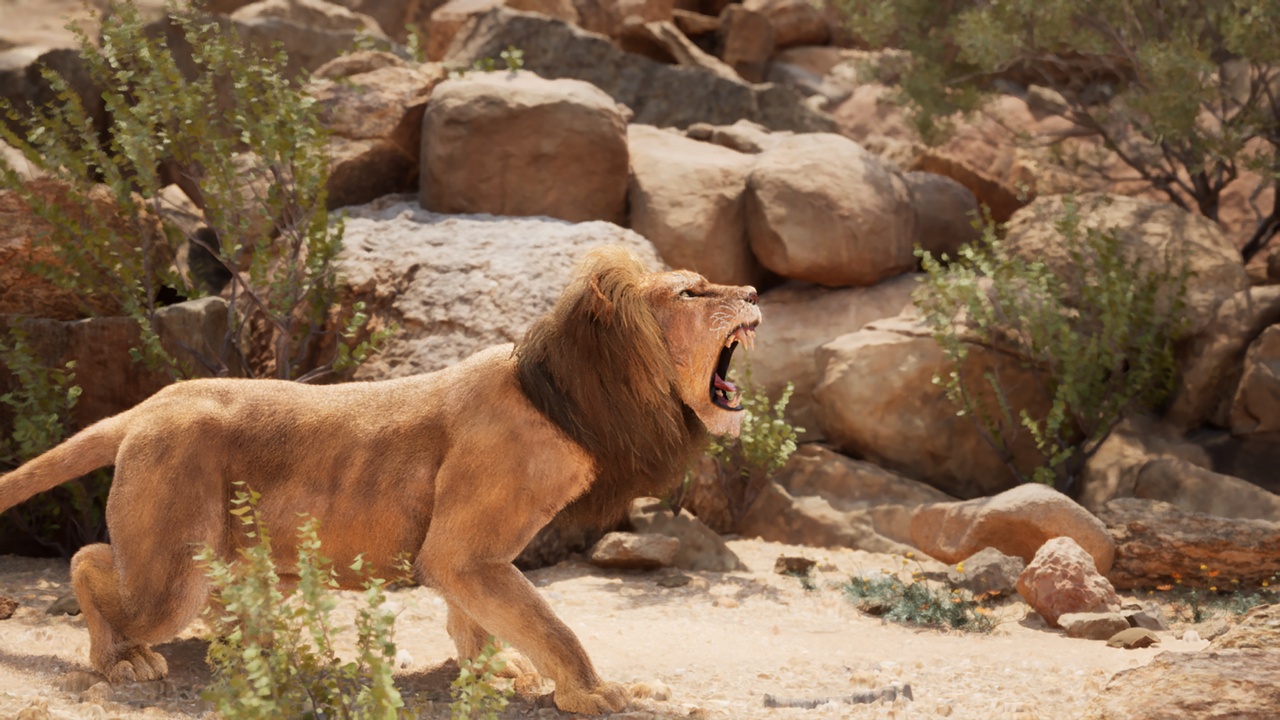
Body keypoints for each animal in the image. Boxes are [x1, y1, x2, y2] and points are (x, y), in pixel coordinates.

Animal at [0, 245, 761, 714]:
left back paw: (264, 648)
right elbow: (549, 624)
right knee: (90, 563)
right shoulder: (462, 551)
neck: (562, 398)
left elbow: (480, 621)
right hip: (172, 571)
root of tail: (155, 401)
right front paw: (590, 692)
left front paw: (493, 674)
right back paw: (122, 659)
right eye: (692, 291)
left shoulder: (467, 562)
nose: (755, 292)